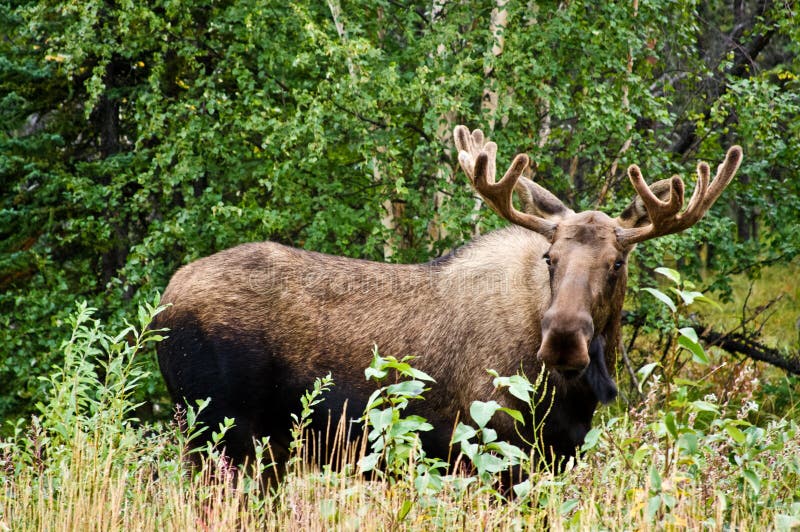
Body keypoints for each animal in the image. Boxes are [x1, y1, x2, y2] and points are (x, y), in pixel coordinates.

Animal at [155, 125, 742, 471]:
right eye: (550, 258)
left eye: (617, 263)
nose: (563, 340)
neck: (572, 394)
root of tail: (165, 298)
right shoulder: (486, 448)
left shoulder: (557, 454)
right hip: (221, 431)